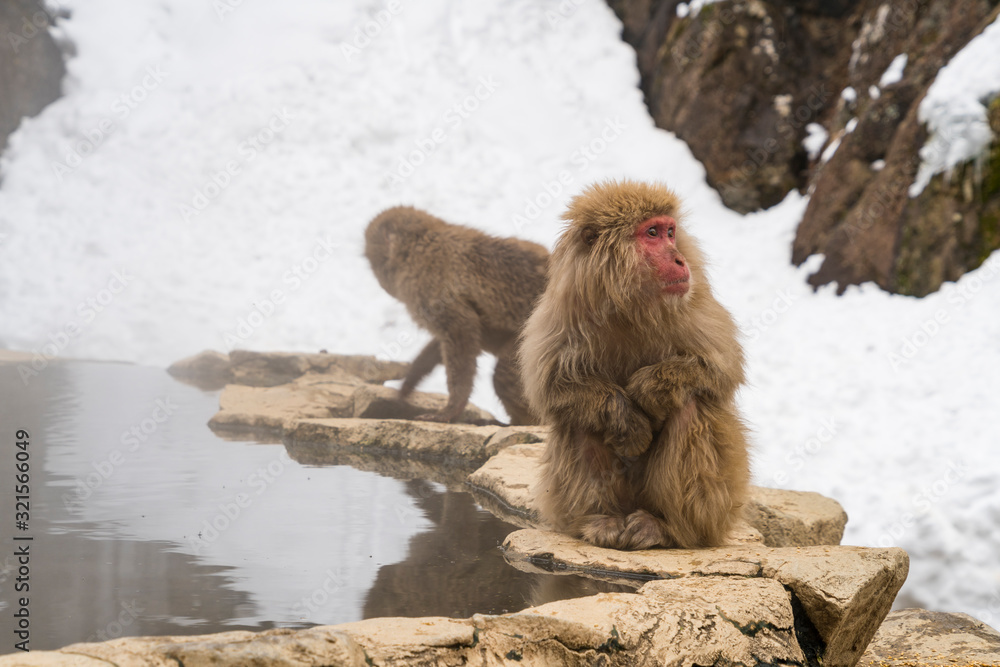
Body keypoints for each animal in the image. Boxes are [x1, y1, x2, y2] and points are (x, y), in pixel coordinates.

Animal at [365, 206, 548, 425]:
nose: (379, 279)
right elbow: (442, 341)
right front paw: (407, 386)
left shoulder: (426, 281)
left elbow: (461, 328)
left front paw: (451, 409)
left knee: (503, 377)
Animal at [518, 180, 749, 550]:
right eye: (651, 233)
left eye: (670, 232)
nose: (679, 258)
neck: (628, 305)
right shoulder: (566, 309)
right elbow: (554, 386)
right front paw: (625, 417)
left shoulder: (694, 299)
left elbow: (720, 367)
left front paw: (651, 387)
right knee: (578, 418)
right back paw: (603, 519)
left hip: (719, 505)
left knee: (691, 406)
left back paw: (668, 528)